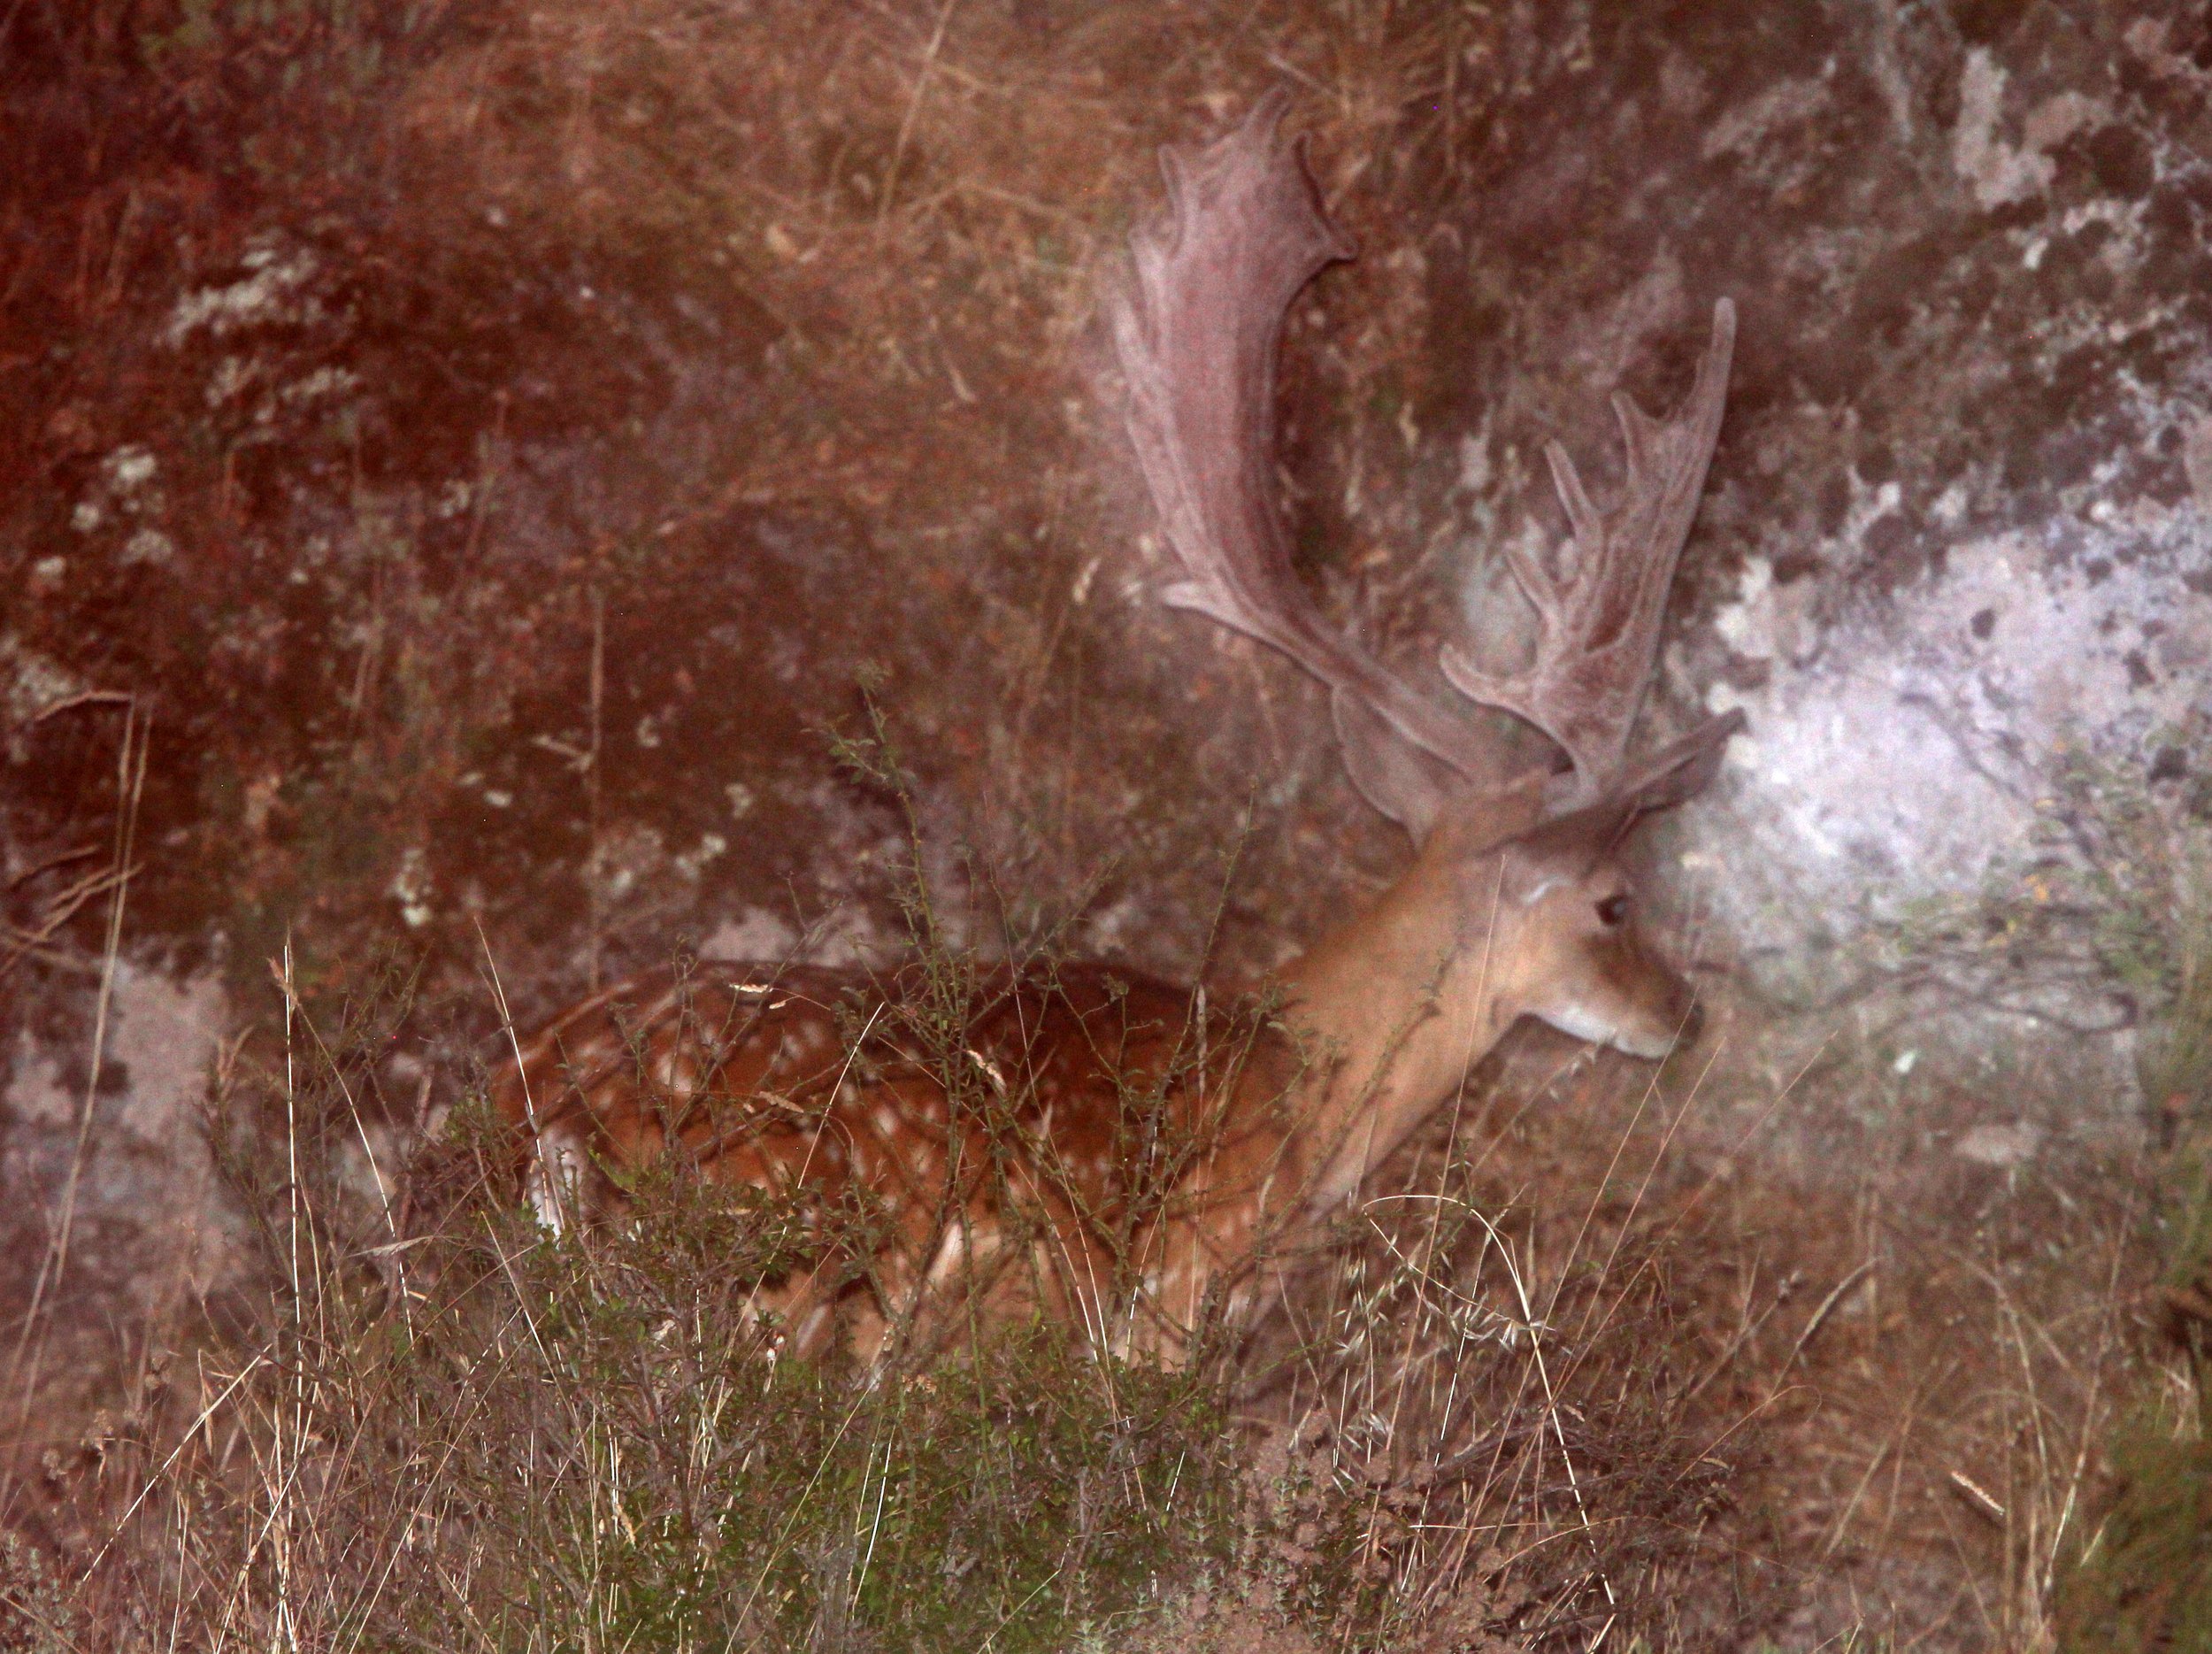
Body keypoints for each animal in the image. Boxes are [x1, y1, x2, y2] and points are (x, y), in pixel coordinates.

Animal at [488, 91, 1746, 1368]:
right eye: (1616, 901)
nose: (1681, 1014)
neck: (1306, 1098)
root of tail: (557, 1115)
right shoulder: (1171, 1311)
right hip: (786, 1275)